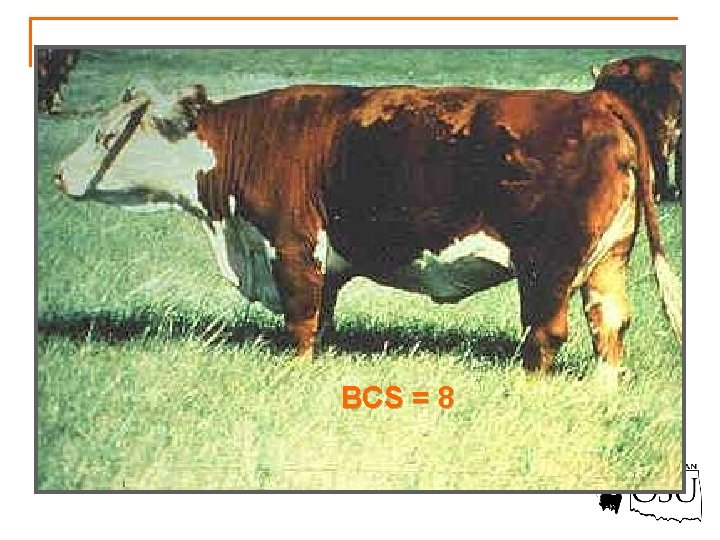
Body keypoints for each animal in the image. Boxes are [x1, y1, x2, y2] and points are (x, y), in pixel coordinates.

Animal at [54, 82, 682, 383]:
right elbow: (323, 317)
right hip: (608, 257)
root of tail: (595, 101)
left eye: (107, 134)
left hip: (547, 263)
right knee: (610, 323)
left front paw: (296, 372)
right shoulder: (321, 264)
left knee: (548, 332)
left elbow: (300, 320)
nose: (58, 174)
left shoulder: (291, 247)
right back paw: (604, 389)